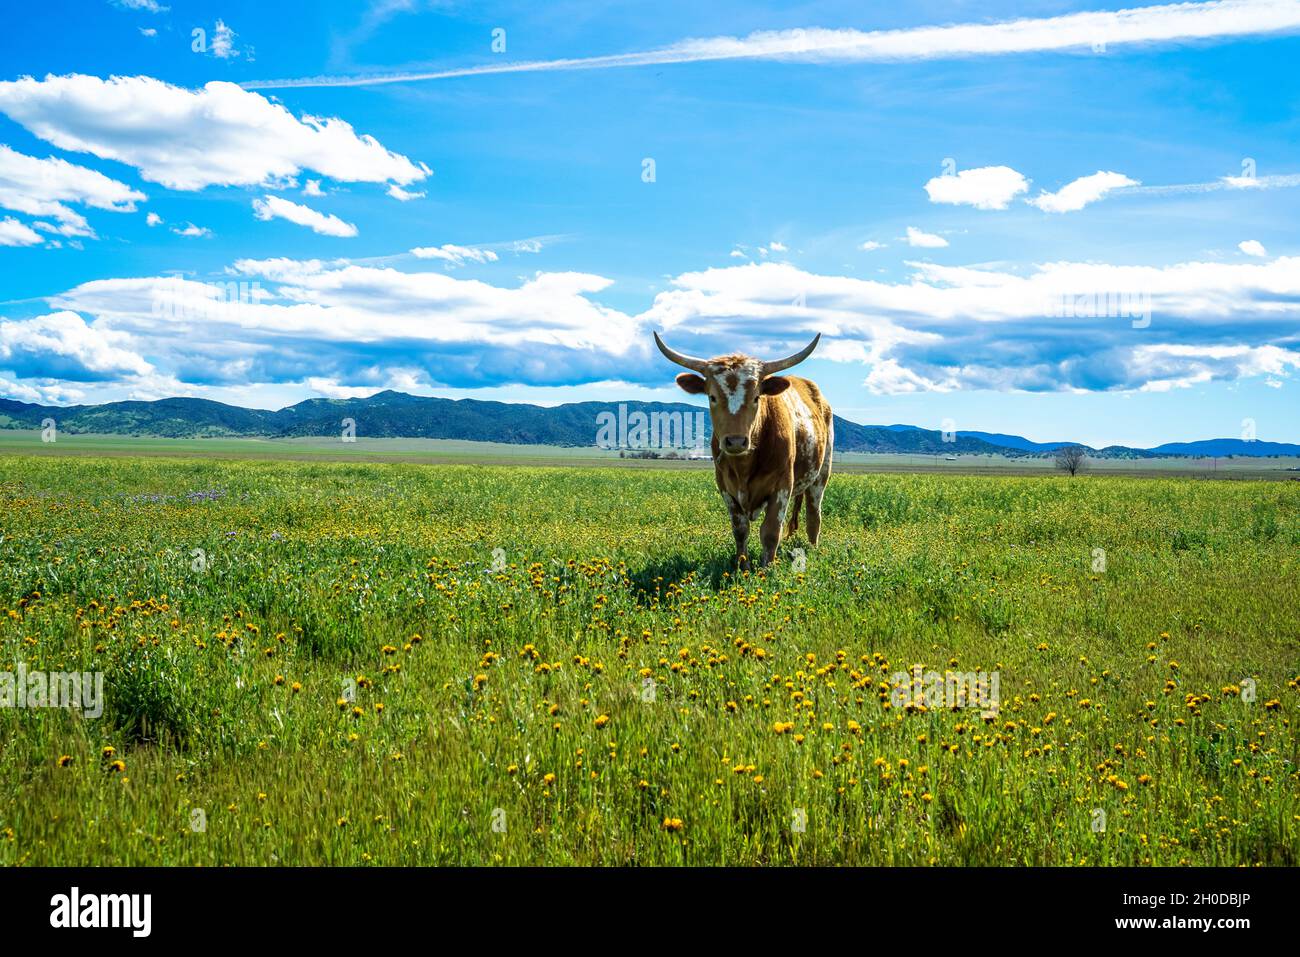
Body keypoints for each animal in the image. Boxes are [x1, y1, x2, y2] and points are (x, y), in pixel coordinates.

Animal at [654, 331, 833, 568]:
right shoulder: (725, 487)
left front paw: (766, 569)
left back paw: (813, 549)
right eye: (712, 397)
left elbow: (770, 532)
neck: (743, 466)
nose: (736, 441)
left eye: (756, 397)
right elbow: (740, 530)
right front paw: (743, 567)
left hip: (821, 474)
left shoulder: (782, 486)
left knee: (814, 515)